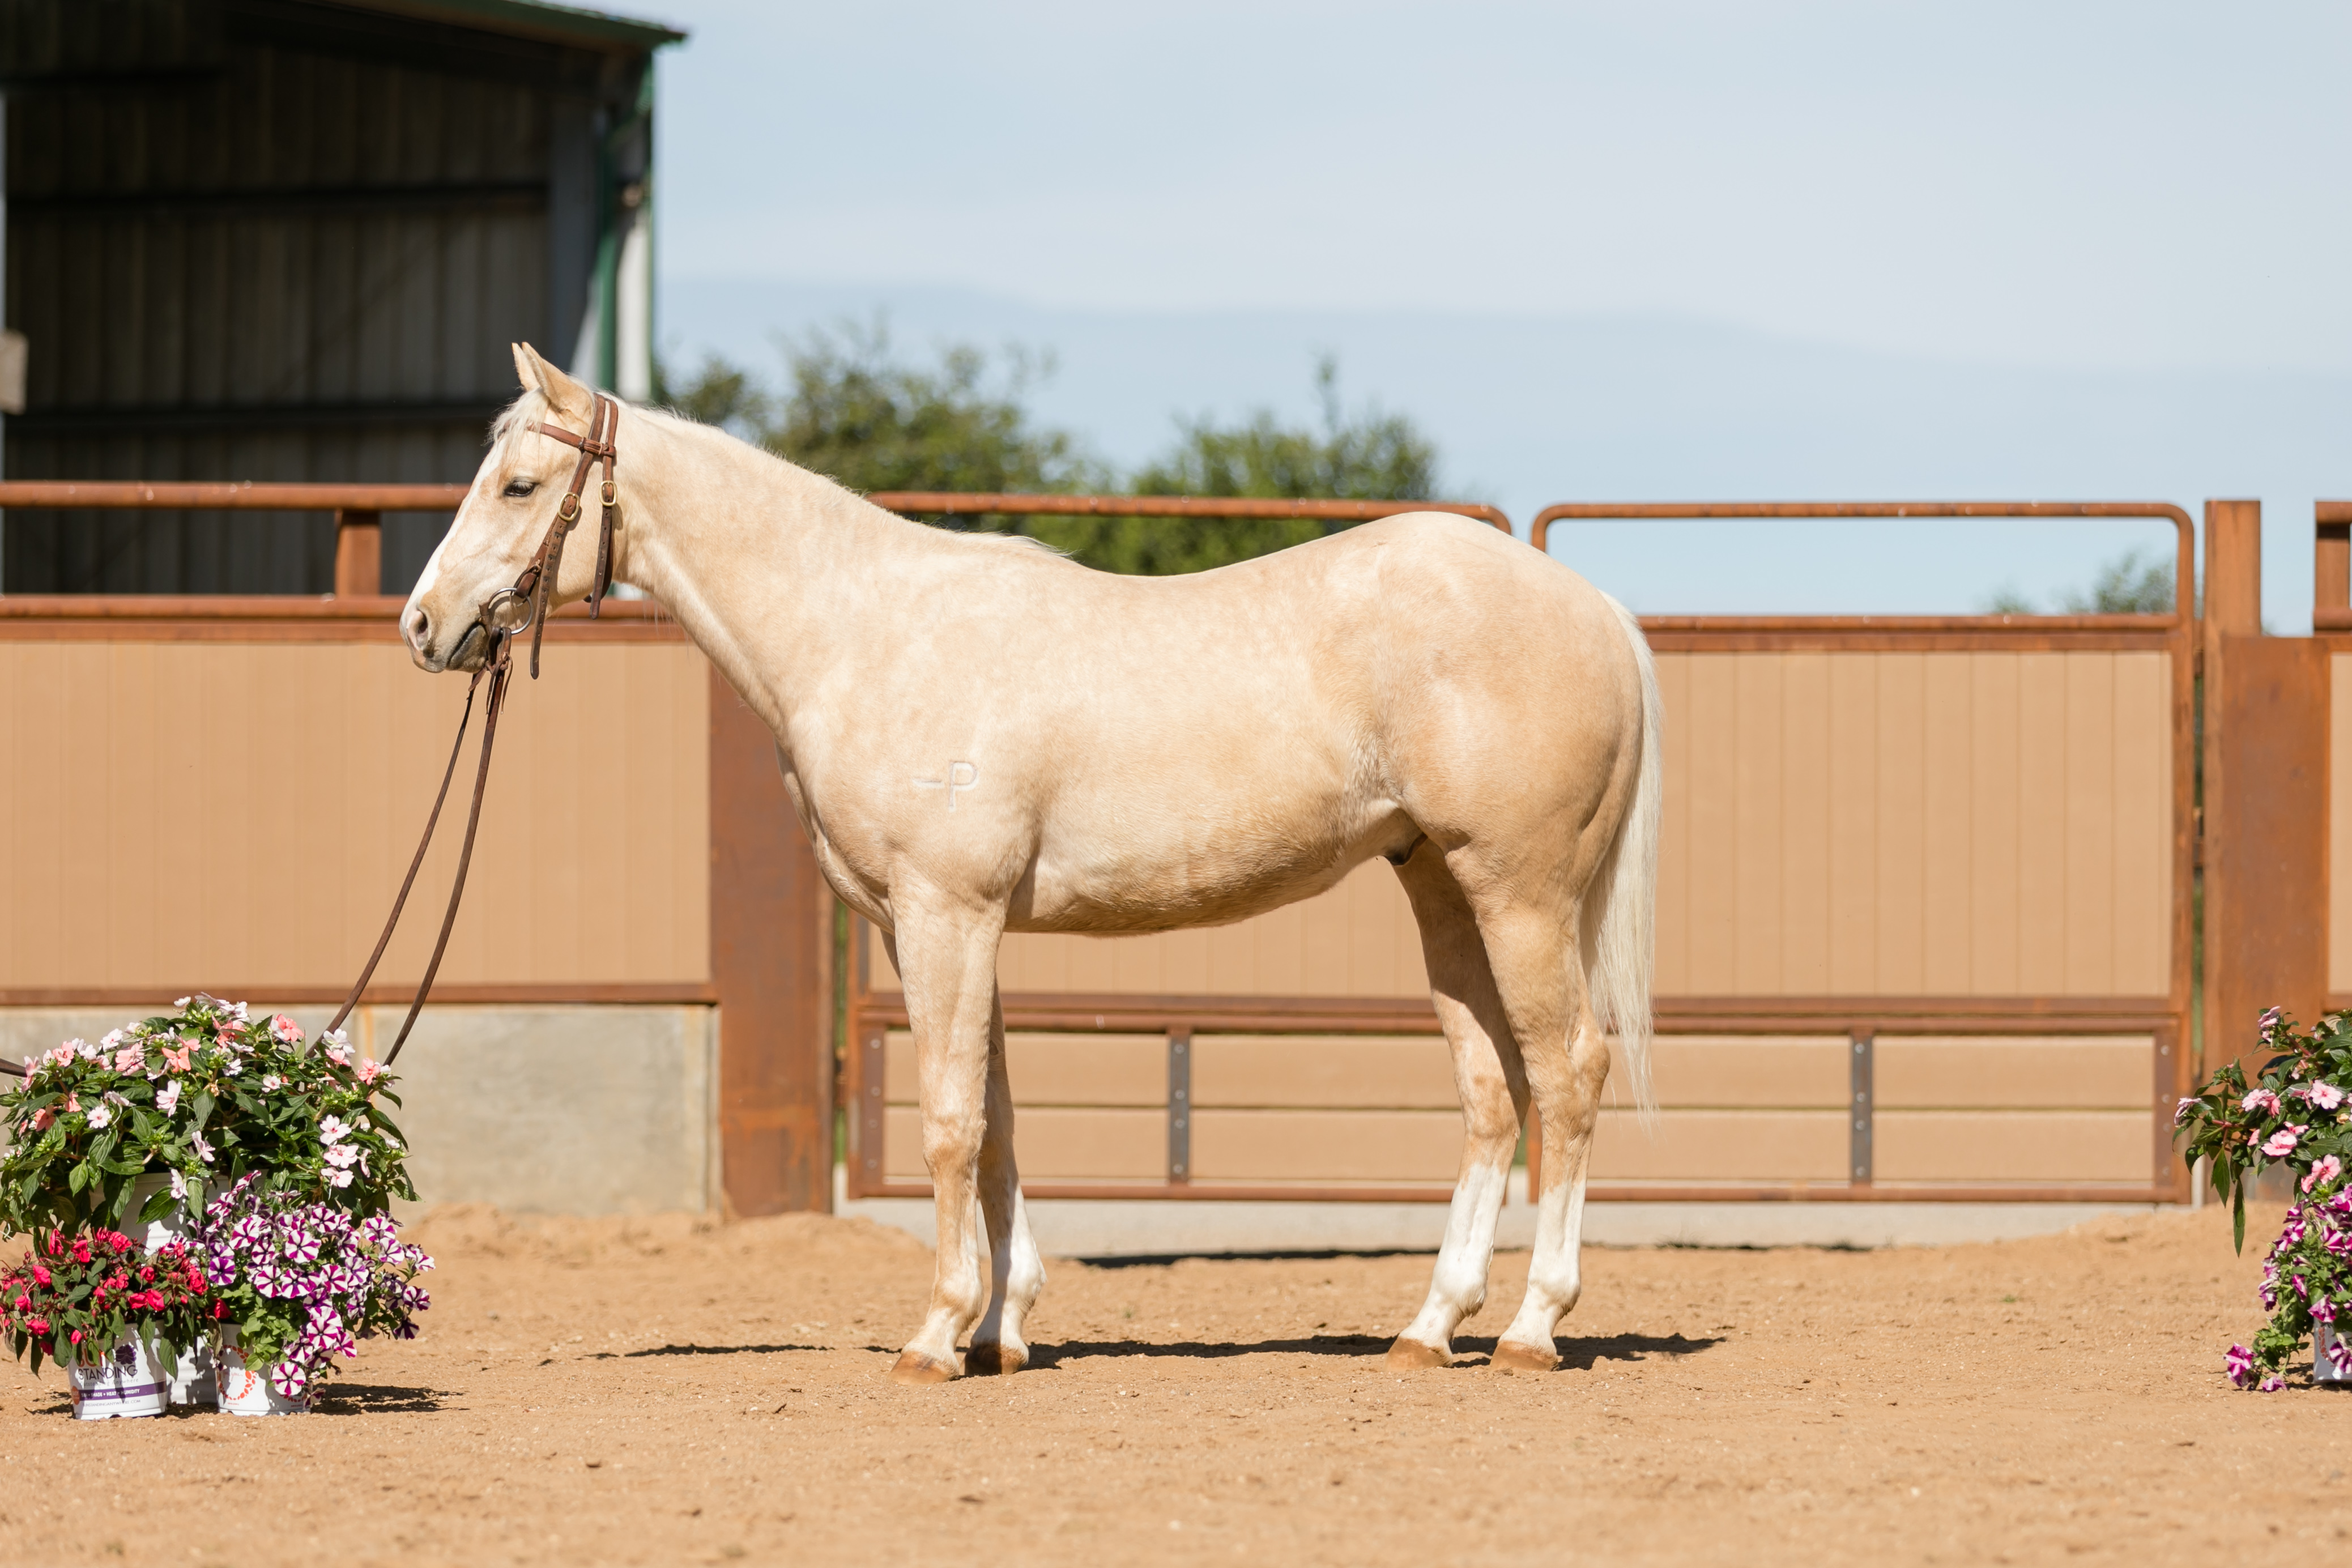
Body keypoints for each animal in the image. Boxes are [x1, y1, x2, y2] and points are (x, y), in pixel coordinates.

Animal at [402, 343, 1662, 1384]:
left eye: (519, 487)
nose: (422, 624)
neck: (865, 634)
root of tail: (1596, 607)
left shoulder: (943, 915)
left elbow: (950, 1121)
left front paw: (936, 1335)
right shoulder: (952, 927)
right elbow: (1000, 1118)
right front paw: (1002, 1328)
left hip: (1519, 894)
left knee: (1568, 1074)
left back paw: (1531, 1328)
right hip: (1441, 889)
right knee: (1492, 1095)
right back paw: (1429, 1327)